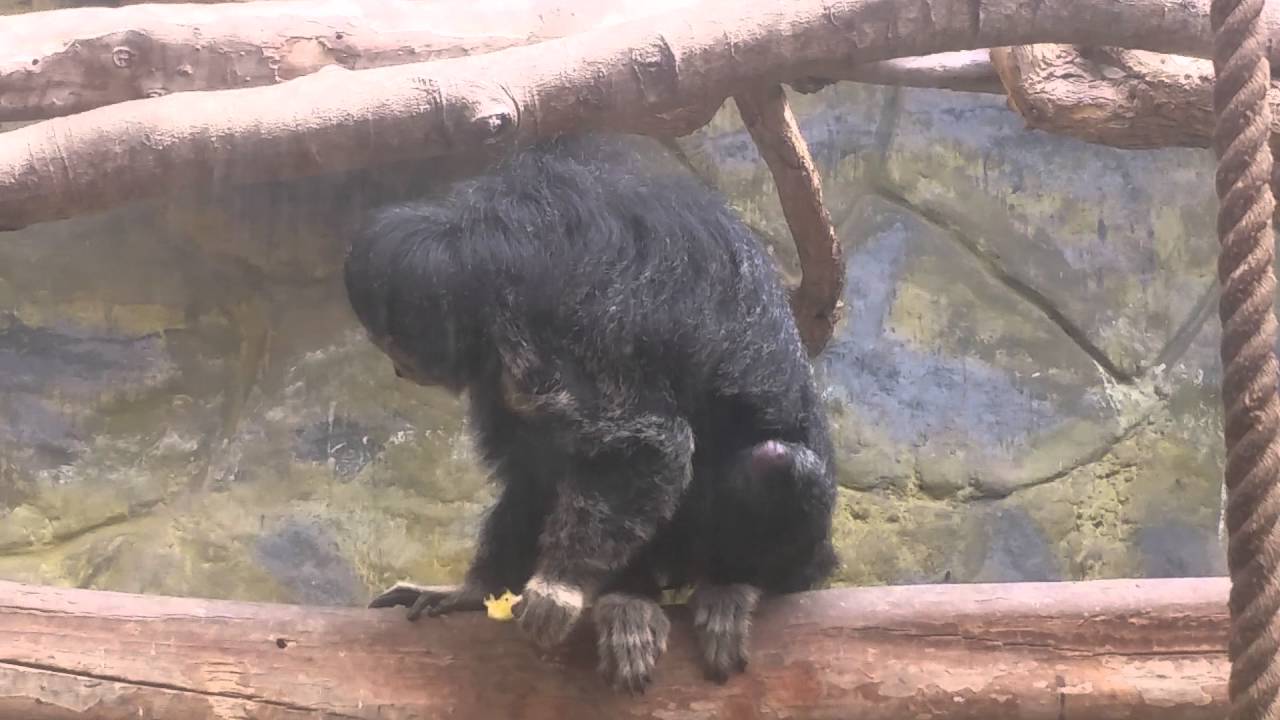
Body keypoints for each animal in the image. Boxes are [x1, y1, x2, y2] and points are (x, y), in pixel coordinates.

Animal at [344, 133, 838, 693]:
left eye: (392, 342)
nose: (397, 368)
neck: (483, 246)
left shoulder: (547, 323)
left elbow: (646, 444)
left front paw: (559, 587)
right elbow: (536, 473)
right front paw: (474, 590)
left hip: (806, 555)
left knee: (777, 464)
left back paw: (736, 585)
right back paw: (629, 598)